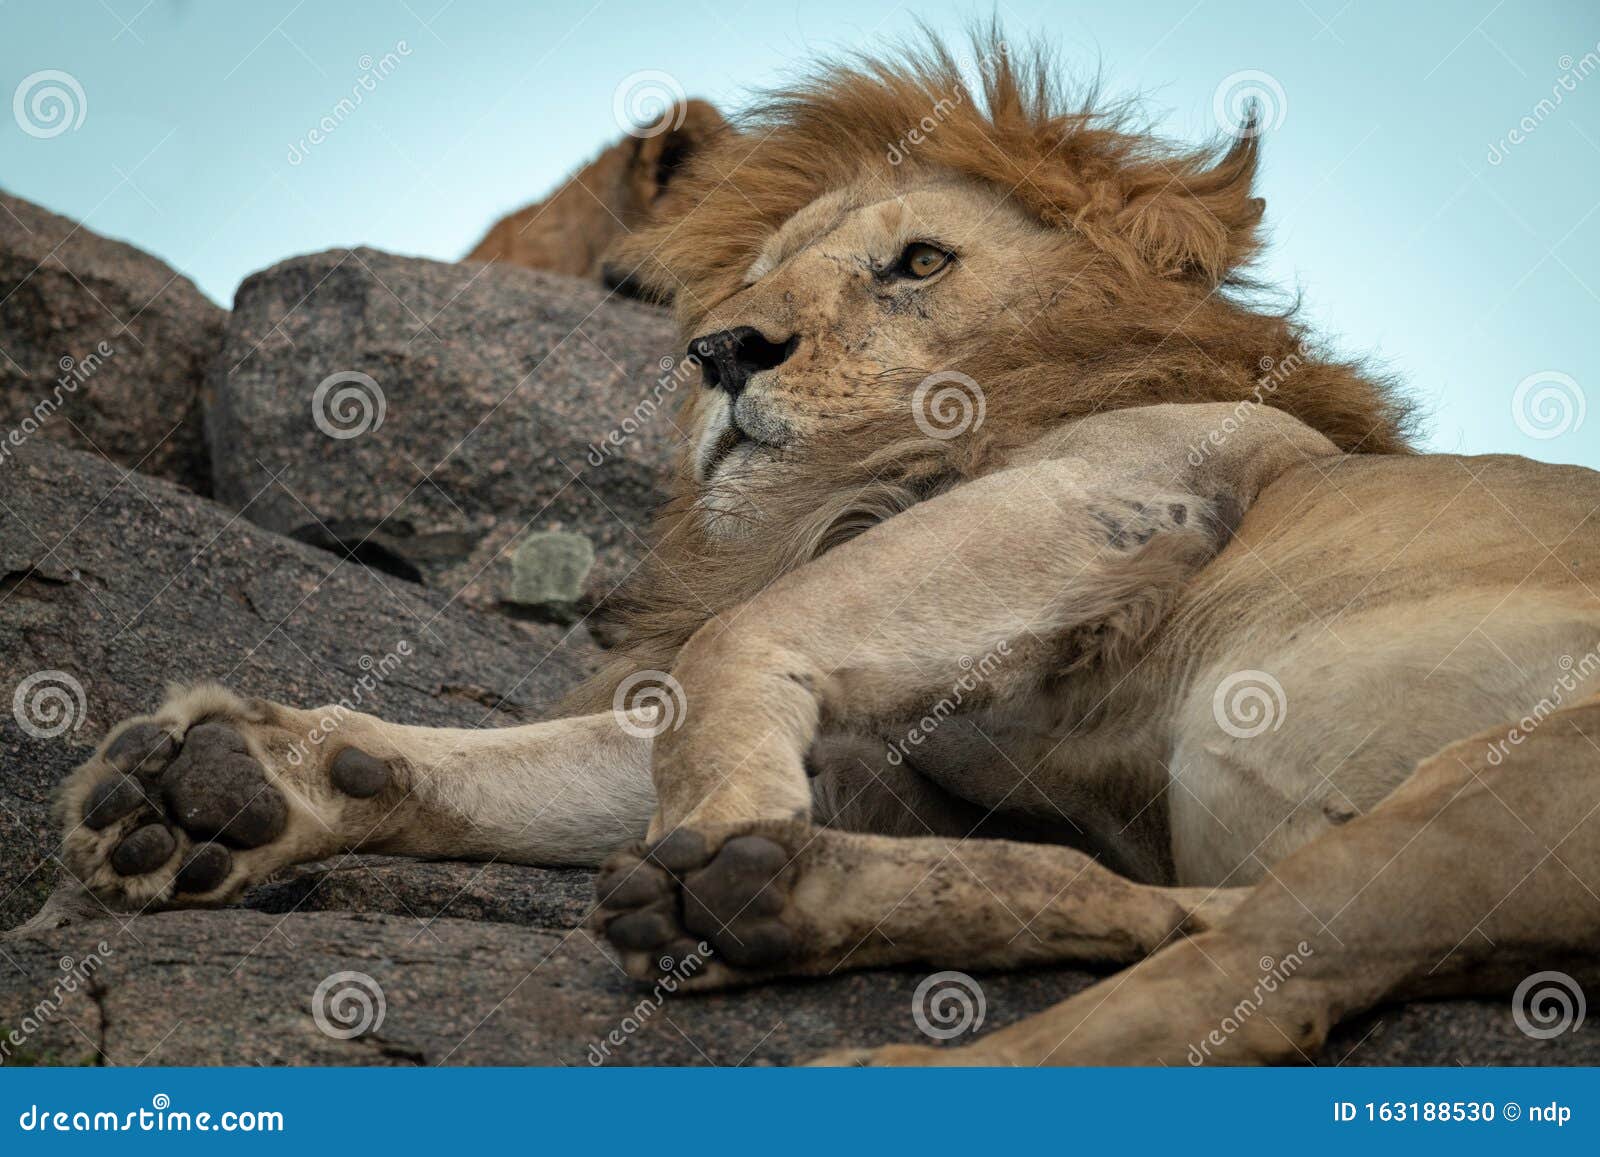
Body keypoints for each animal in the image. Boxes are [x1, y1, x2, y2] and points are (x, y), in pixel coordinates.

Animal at [52, 36, 1600, 1066]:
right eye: (750, 277)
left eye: (917, 263)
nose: (722, 352)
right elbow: (579, 749)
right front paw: (233, 786)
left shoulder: (1127, 481)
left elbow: (729, 642)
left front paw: (725, 820)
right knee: (1164, 908)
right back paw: (768, 899)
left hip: (1525, 771)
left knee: (1254, 970)